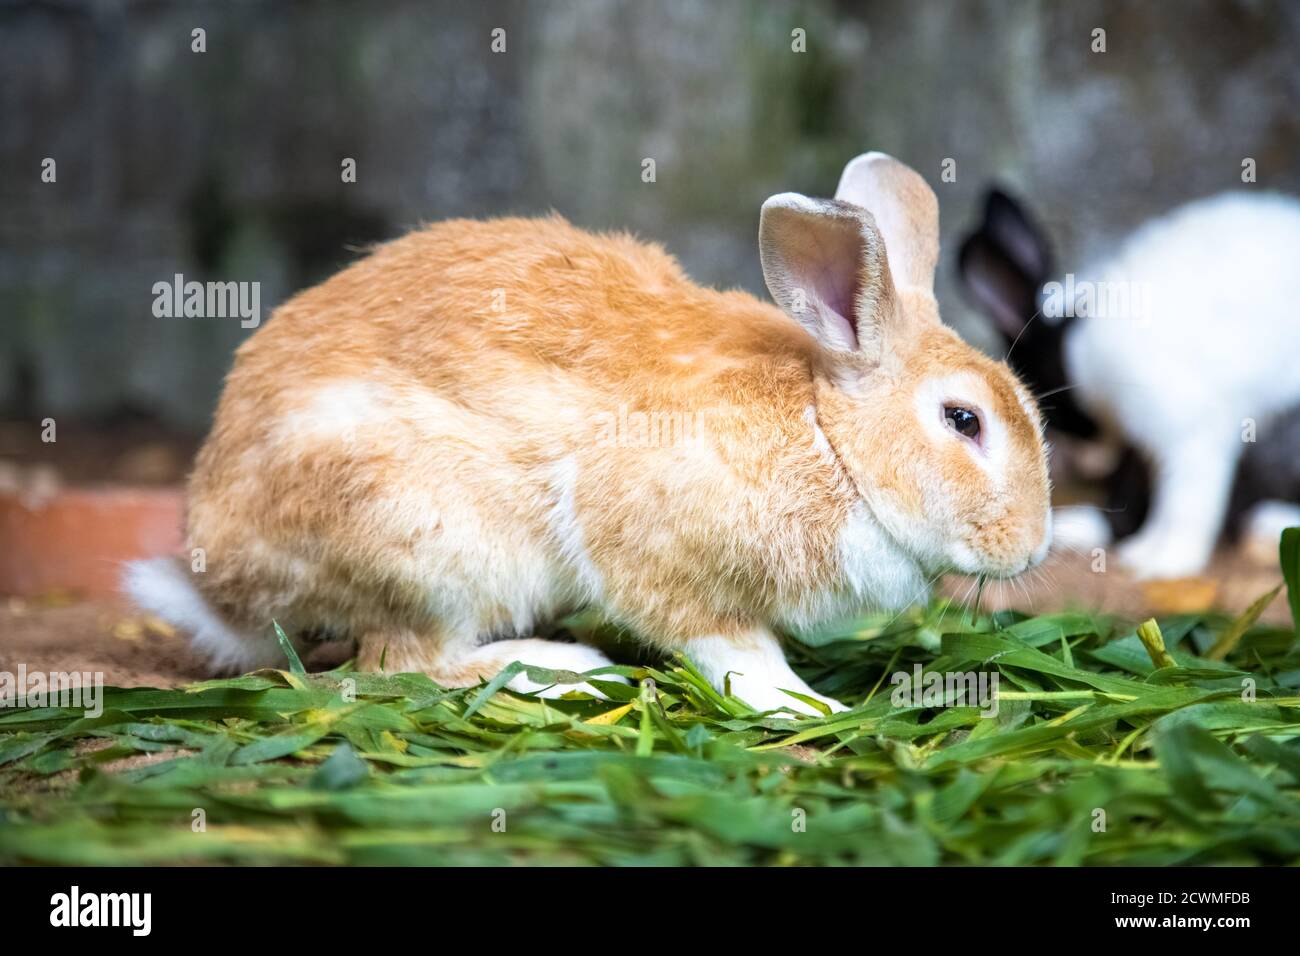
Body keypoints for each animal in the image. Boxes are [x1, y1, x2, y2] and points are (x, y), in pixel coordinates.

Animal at [126, 152, 1051, 716]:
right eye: (963, 419)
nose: (1034, 549)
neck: (830, 436)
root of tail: (219, 571)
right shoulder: (655, 552)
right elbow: (731, 647)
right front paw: (809, 707)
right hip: (428, 540)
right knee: (404, 663)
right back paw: (566, 673)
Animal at [959, 188, 1300, 579]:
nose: (1077, 461)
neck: (1076, 353)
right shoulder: (1139, 444)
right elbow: (1129, 492)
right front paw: (1092, 530)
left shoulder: (1191, 435)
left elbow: (1185, 502)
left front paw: (1160, 561)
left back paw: (1269, 525)